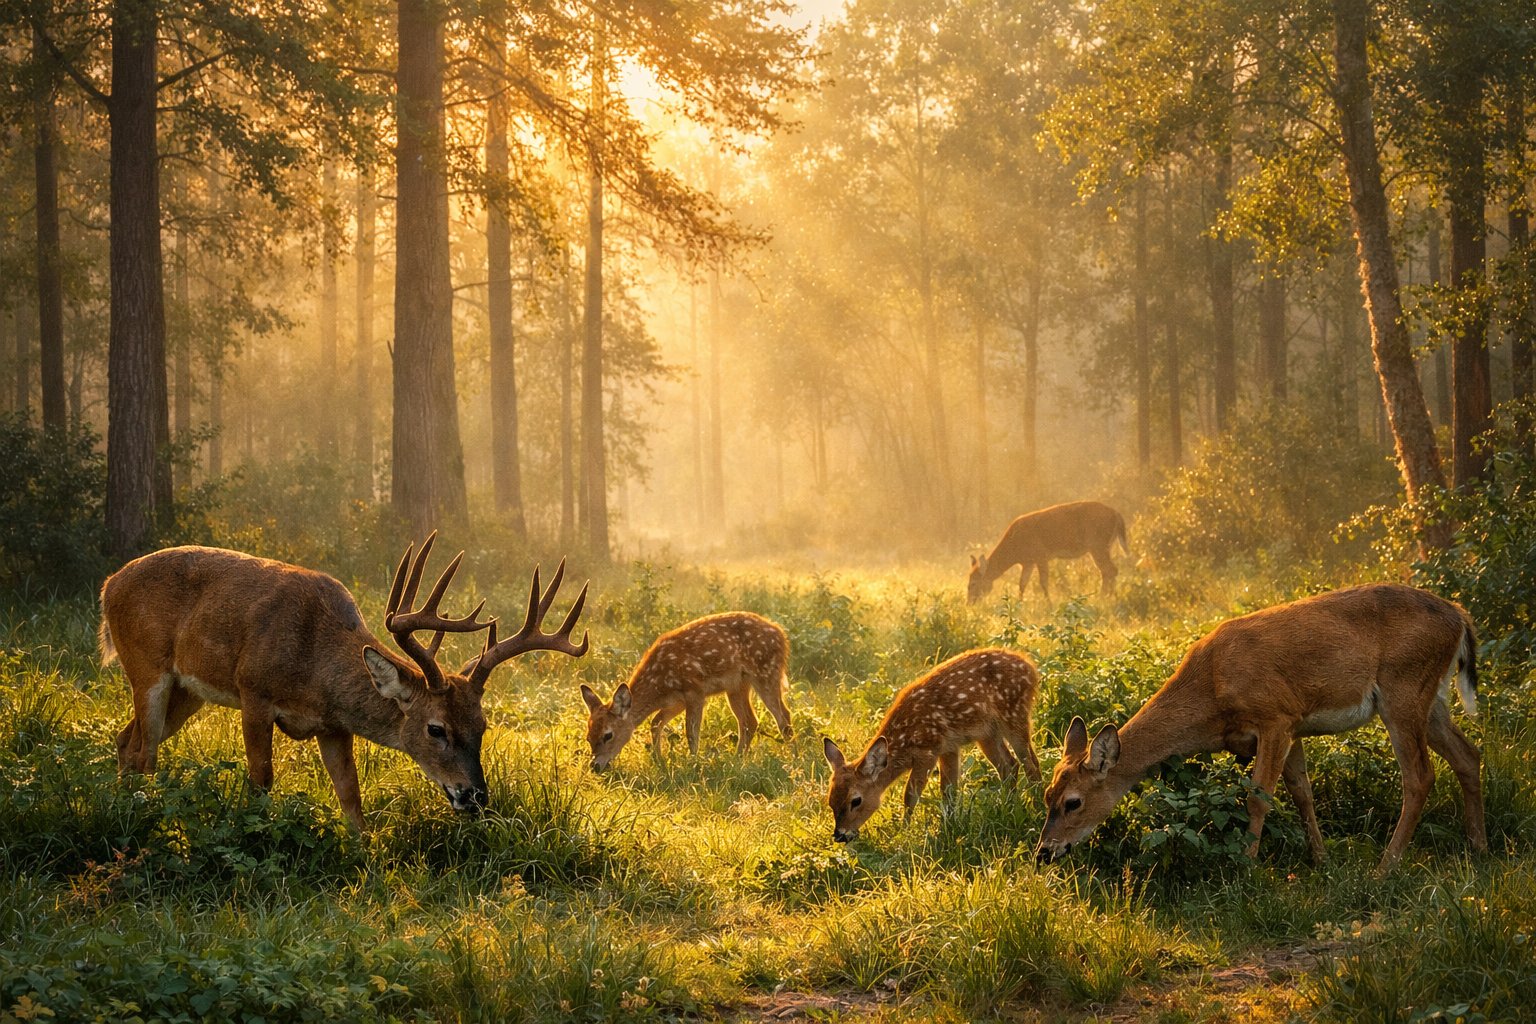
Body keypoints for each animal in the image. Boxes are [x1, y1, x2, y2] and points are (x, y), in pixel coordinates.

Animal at [99, 533, 588, 828]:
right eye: (436, 729)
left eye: (483, 726)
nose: (475, 796)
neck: (314, 667)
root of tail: (108, 585)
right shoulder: (254, 691)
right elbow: (261, 781)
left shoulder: (334, 725)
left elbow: (351, 796)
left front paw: (364, 856)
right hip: (146, 667)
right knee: (144, 751)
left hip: (187, 692)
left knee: (127, 741)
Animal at [580, 611, 792, 769]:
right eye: (588, 736)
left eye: (608, 735)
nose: (595, 766)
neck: (660, 683)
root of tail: (782, 634)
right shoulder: (677, 701)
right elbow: (656, 723)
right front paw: (659, 761)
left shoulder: (694, 690)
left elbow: (691, 732)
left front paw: (693, 764)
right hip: (738, 685)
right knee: (750, 721)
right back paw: (737, 761)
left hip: (766, 673)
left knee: (783, 716)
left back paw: (793, 759)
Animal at [822, 648, 1040, 843]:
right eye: (830, 799)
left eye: (856, 800)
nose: (840, 835)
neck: (905, 738)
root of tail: (1031, 668)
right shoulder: (949, 746)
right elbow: (949, 790)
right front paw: (949, 826)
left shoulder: (928, 750)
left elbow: (910, 794)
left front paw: (904, 833)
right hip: (987, 733)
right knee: (1009, 765)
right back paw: (1008, 805)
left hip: (1014, 713)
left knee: (1030, 763)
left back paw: (1035, 806)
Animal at [968, 500, 1129, 604]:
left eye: (973, 583)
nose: (969, 603)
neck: (1015, 548)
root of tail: (1117, 515)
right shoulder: (1028, 561)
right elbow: (1022, 583)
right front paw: (1019, 604)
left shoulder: (1041, 555)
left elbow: (1043, 582)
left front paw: (1048, 603)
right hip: (1105, 545)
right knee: (1108, 571)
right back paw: (1109, 596)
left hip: (1098, 544)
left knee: (1110, 570)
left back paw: (1104, 598)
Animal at [1035, 583, 1485, 872]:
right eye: (1046, 796)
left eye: (1073, 802)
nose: (1044, 852)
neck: (1211, 693)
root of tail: (1461, 616)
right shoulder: (1294, 727)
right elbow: (1303, 794)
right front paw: (1321, 861)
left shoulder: (1275, 716)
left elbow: (1258, 798)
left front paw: (1247, 869)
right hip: (1432, 700)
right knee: (1469, 754)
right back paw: (1476, 846)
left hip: (1403, 690)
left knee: (1420, 776)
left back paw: (1386, 866)